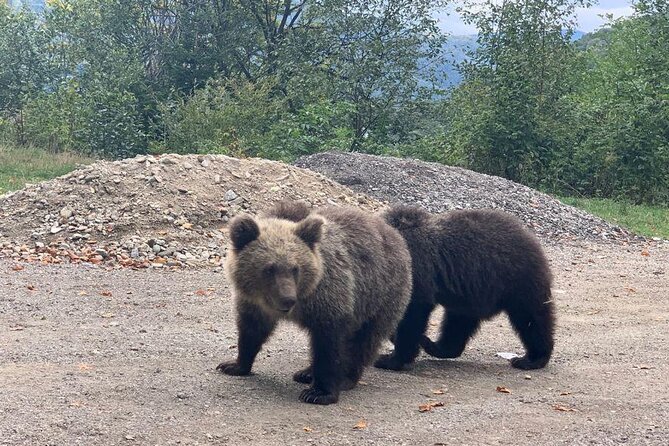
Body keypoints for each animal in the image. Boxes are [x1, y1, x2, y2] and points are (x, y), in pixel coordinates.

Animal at [217, 202, 412, 405]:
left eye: (295, 268)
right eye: (269, 269)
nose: (288, 298)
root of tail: (393, 233)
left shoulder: (329, 298)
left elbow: (329, 344)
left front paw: (319, 392)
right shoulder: (254, 304)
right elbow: (251, 331)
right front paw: (235, 365)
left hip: (379, 296)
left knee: (363, 341)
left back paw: (345, 377)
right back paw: (306, 372)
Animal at [374, 205, 555, 371]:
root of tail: (531, 238)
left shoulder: (417, 270)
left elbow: (412, 315)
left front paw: (390, 359)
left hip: (518, 281)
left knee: (531, 319)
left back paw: (531, 359)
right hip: (472, 293)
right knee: (458, 323)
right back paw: (434, 345)